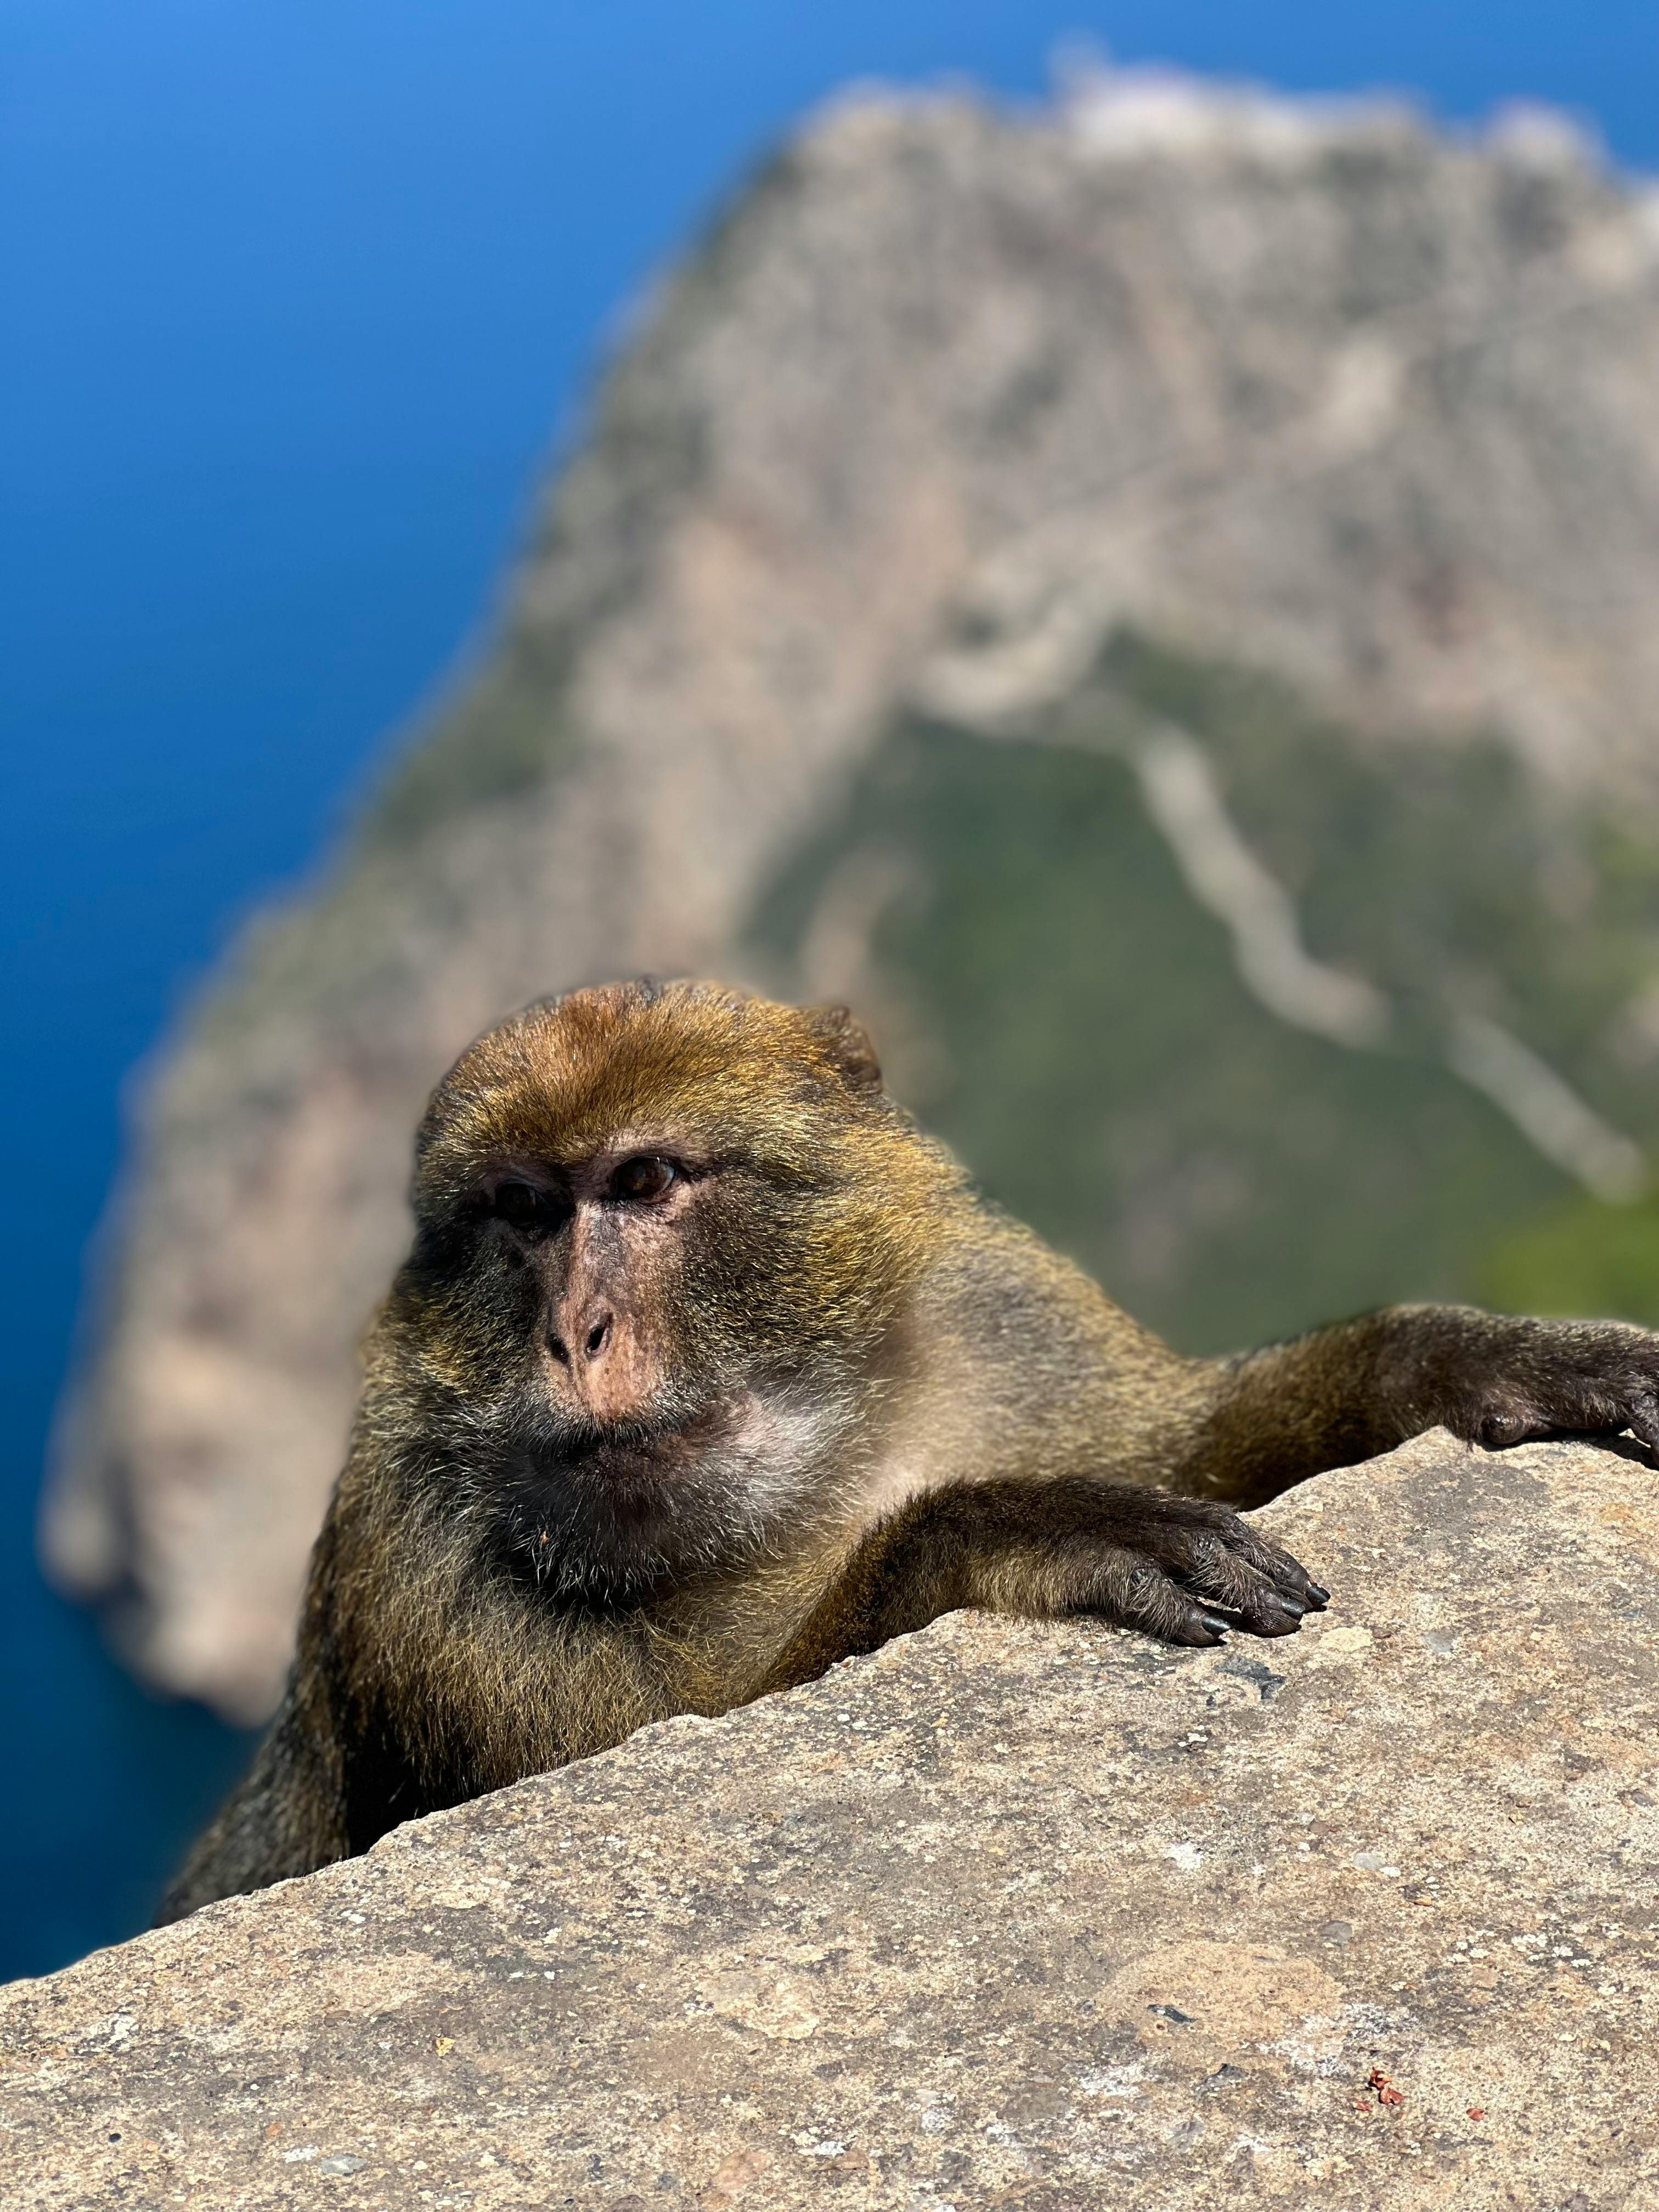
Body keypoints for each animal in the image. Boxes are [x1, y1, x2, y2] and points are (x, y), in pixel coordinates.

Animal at [159, 978, 1659, 1919]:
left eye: (640, 1183)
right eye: (521, 1212)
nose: (574, 1335)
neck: (809, 1470)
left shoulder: (1003, 1317)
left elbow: (1198, 1442)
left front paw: (1473, 1359)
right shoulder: (417, 1567)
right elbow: (652, 1756)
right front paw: (1020, 1530)